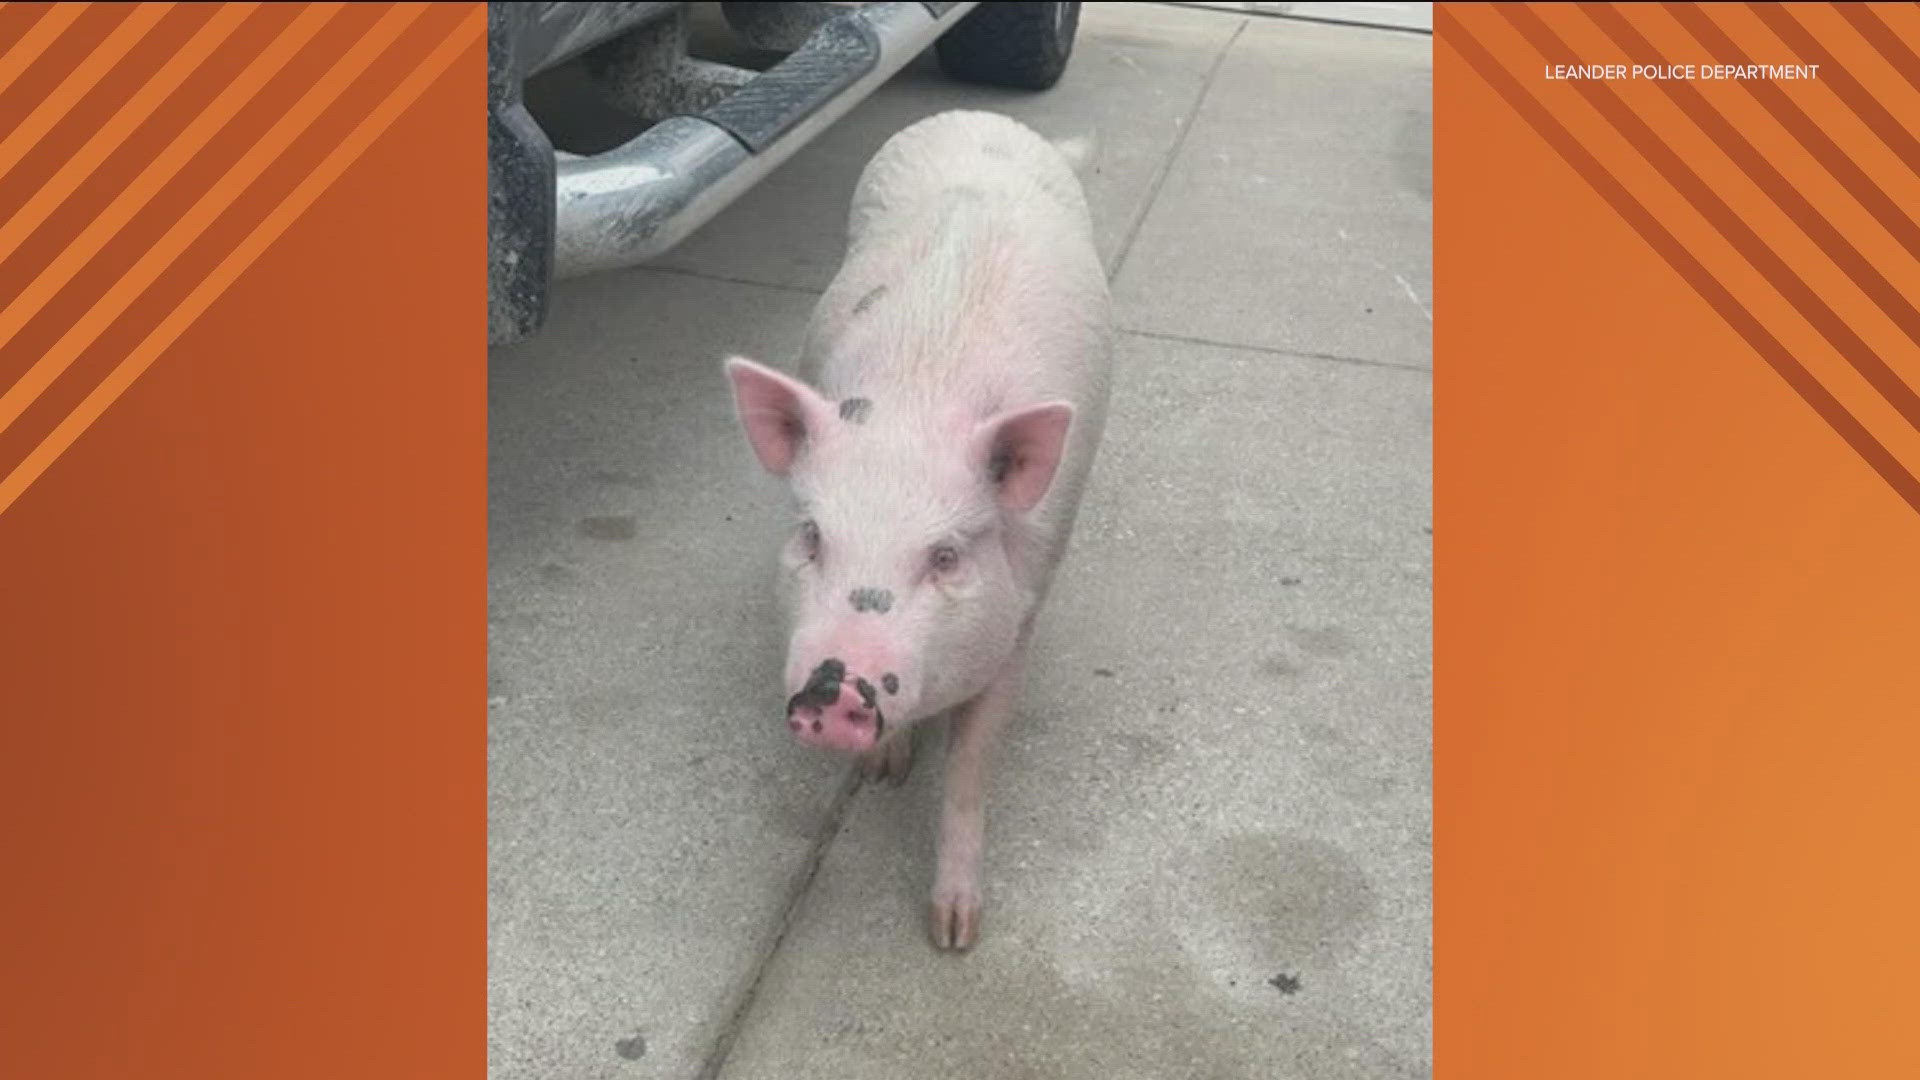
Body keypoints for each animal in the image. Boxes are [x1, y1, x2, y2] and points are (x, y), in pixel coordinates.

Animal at [722, 110, 1111, 951]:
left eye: (945, 555)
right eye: (812, 537)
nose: (835, 686)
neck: (918, 400)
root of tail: (980, 118)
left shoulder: (1021, 611)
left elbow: (969, 770)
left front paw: (954, 935)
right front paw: (884, 772)